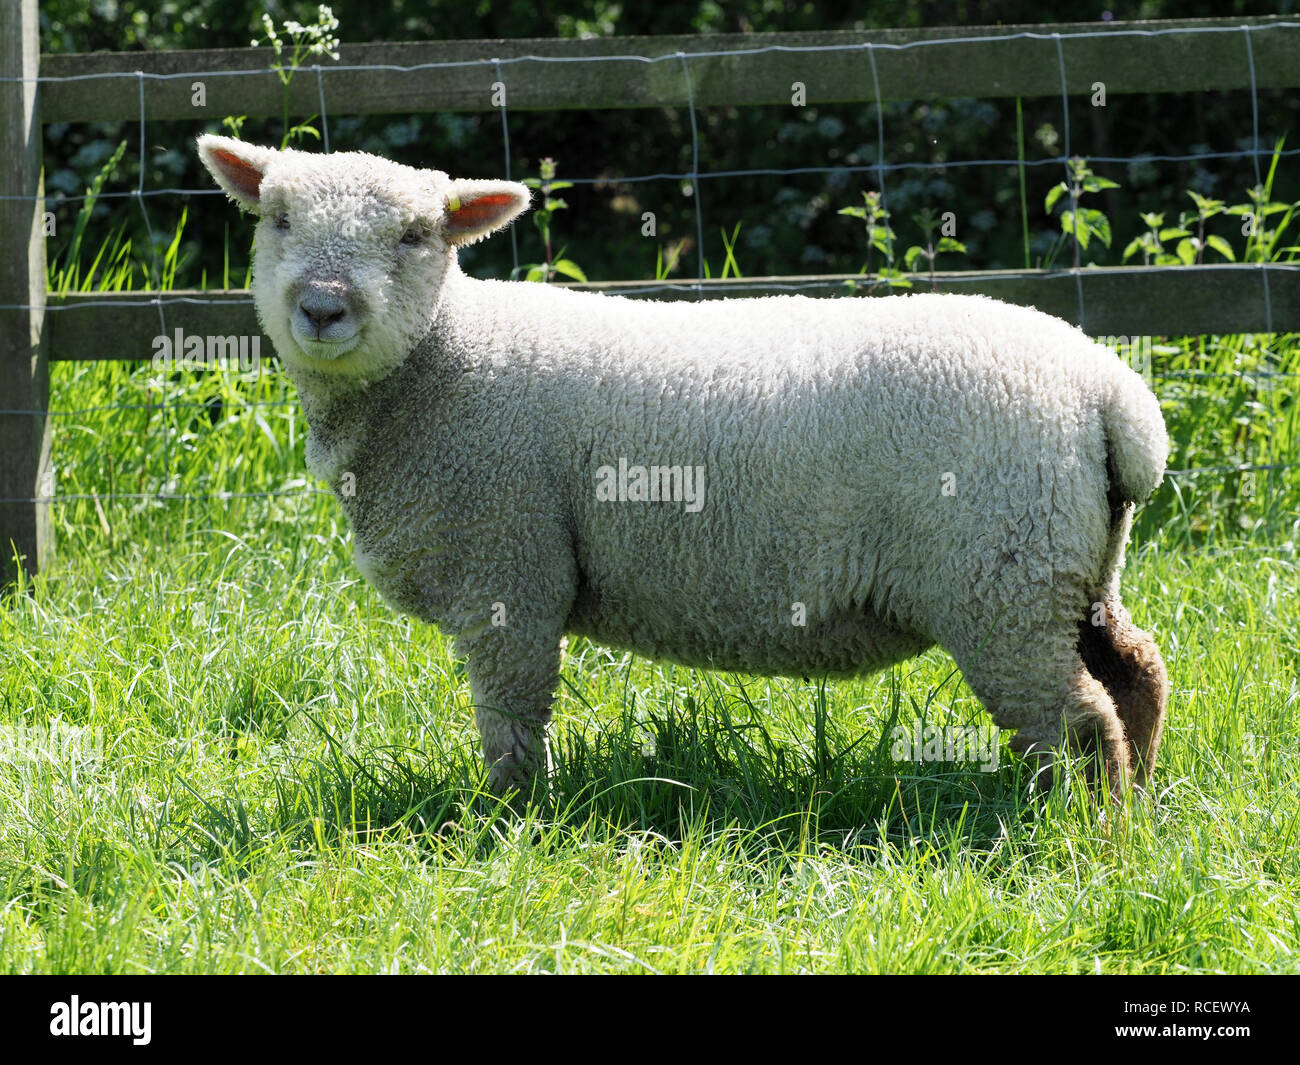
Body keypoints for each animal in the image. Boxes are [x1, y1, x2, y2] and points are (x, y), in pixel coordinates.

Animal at [197, 134, 1170, 802]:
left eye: (411, 235)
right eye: (277, 220)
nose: (324, 308)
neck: (444, 358)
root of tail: (1110, 392)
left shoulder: (507, 568)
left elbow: (511, 718)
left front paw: (511, 821)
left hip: (999, 575)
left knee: (1081, 718)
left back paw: (1088, 832)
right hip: (1067, 562)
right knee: (1137, 672)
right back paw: (1147, 801)